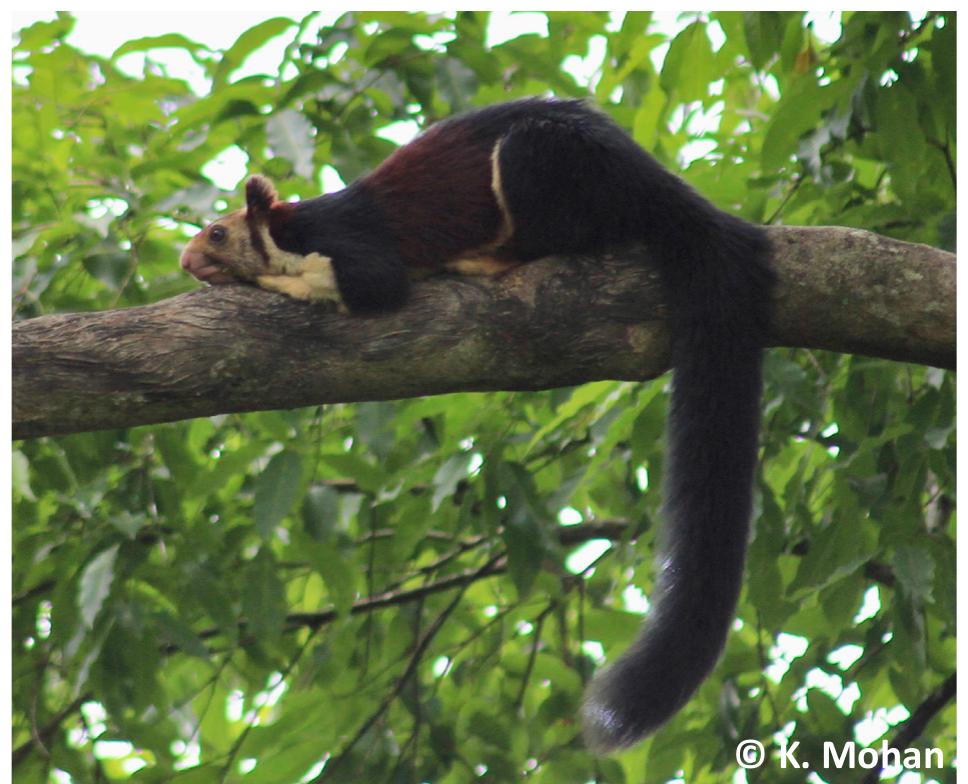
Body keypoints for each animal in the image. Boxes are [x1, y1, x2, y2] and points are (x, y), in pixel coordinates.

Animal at [181, 97, 775, 752]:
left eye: (217, 232)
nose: (186, 260)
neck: (290, 229)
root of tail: (656, 185)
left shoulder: (350, 245)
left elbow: (365, 282)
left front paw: (269, 278)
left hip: (545, 163)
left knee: (559, 231)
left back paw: (487, 254)